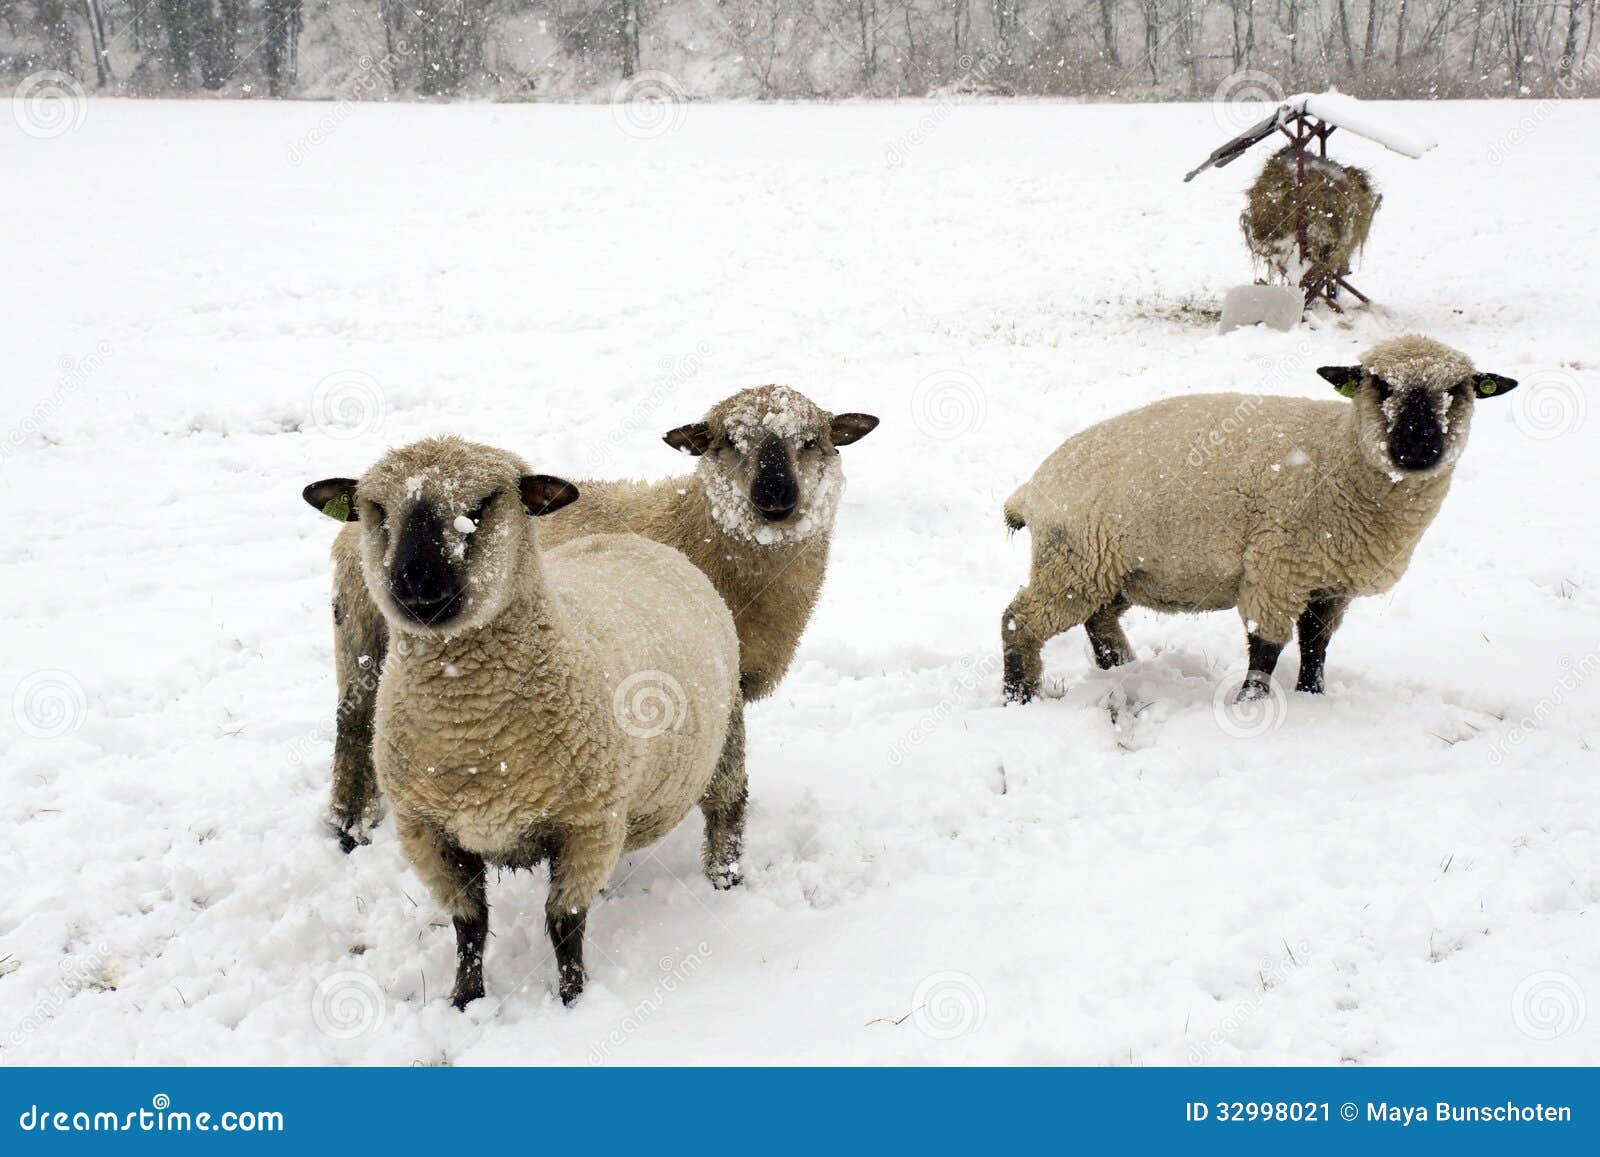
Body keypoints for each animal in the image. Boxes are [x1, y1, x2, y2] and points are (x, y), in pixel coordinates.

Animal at [303, 436, 742, 1008]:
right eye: (375, 510)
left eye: (481, 506)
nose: (415, 581)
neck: (471, 733)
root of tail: (634, 539)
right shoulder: (428, 833)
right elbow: (469, 923)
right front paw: (465, 999)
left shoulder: (587, 826)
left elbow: (564, 922)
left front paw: (574, 1000)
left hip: (728, 732)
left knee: (729, 806)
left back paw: (726, 878)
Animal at [315, 386, 878, 850]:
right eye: (729, 443)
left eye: (812, 441)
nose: (775, 496)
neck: (697, 527)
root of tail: (352, 515)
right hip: (363, 635)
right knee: (352, 721)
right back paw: (349, 824)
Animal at [1000, 335, 1518, 704]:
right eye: (1381, 385)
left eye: (1458, 391)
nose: (1418, 444)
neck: (1339, 455)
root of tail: (1032, 488)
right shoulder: (1276, 569)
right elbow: (1265, 648)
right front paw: (1252, 705)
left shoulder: (1331, 583)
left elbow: (1315, 644)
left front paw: (1312, 696)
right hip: (1074, 561)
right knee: (1019, 621)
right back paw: (1019, 697)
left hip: (1115, 570)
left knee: (1098, 620)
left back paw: (1122, 668)